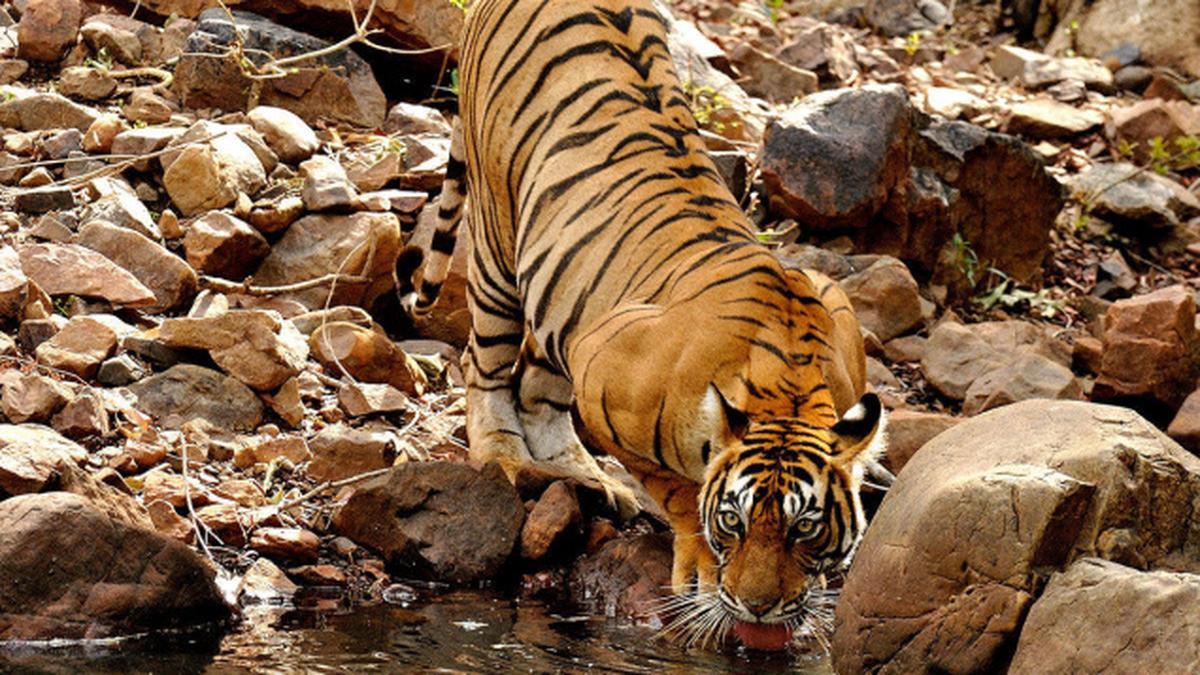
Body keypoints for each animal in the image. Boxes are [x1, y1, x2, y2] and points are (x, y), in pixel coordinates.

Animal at [397, 0, 887, 650]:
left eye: (804, 530)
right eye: (733, 521)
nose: (759, 608)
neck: (788, 386)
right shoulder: (602, 369)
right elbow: (675, 488)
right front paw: (701, 568)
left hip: (567, 299)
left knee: (535, 386)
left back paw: (581, 475)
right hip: (499, 235)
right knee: (489, 367)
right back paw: (506, 458)